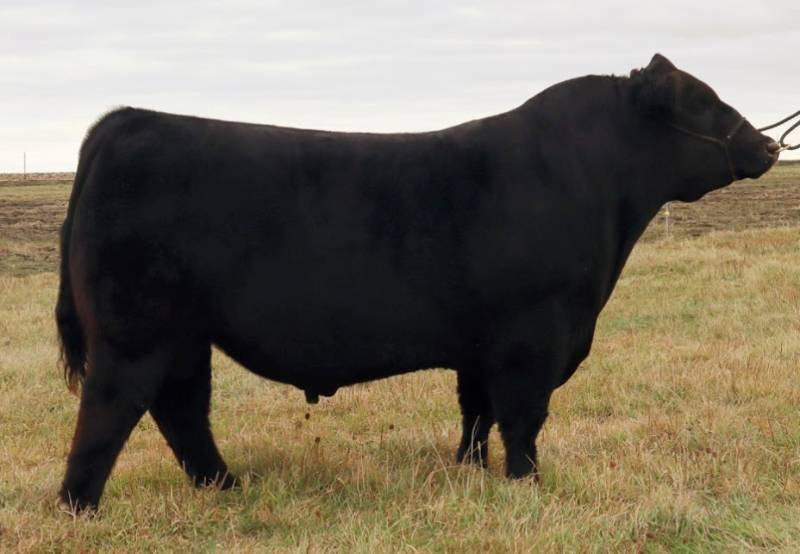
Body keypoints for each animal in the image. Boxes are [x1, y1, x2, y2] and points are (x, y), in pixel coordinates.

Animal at [55, 54, 780, 511]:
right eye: (703, 103)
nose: (770, 145)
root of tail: (131, 119)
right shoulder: (533, 335)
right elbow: (522, 416)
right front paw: (527, 485)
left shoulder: (483, 346)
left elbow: (476, 412)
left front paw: (469, 473)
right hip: (135, 332)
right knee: (111, 408)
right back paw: (79, 509)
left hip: (184, 336)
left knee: (181, 409)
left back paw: (225, 489)